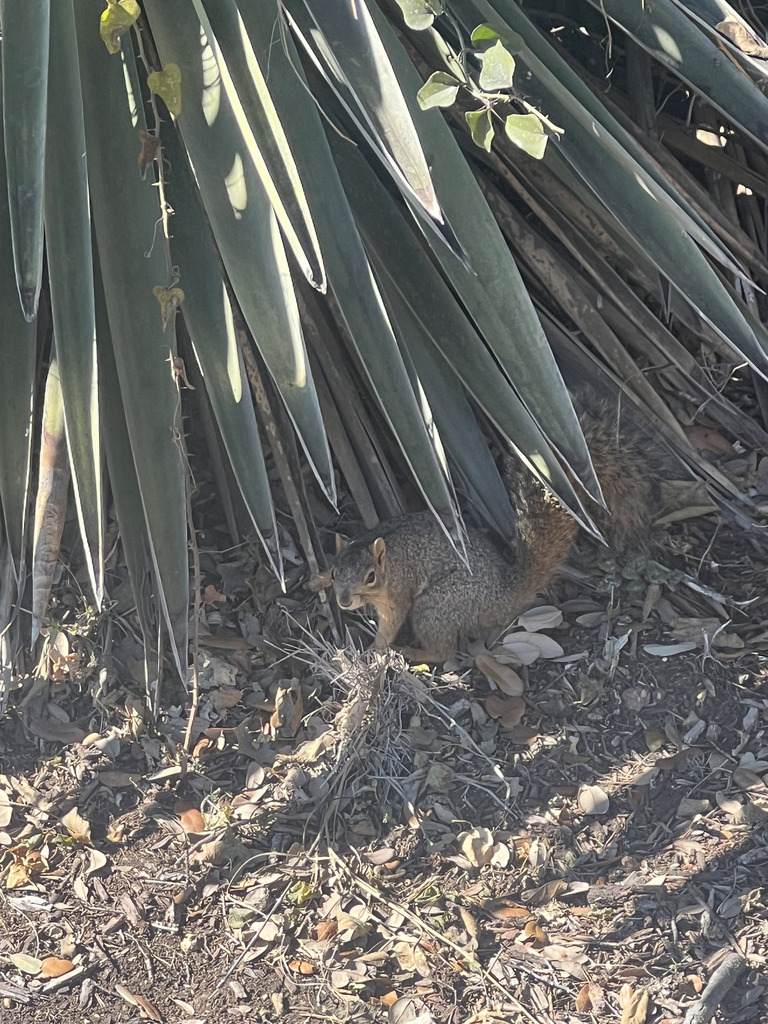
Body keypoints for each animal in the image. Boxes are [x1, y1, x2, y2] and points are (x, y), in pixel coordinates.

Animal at [320, 400, 659, 664]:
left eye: (370, 577)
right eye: (335, 573)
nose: (344, 601)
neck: (388, 560)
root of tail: (503, 594)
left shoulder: (398, 592)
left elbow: (392, 623)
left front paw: (375, 648)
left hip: (437, 607)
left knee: (444, 651)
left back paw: (414, 653)